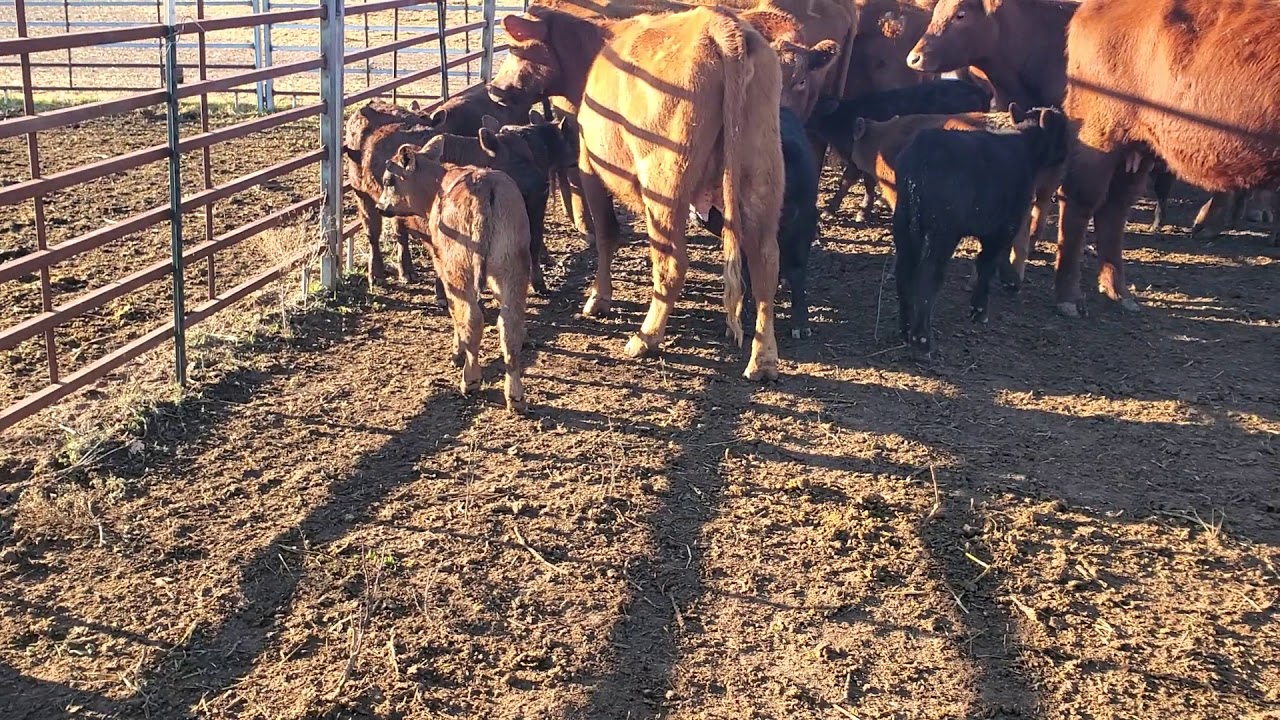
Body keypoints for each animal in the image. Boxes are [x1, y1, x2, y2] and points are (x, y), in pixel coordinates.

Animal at [375, 142, 532, 413]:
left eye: (389, 180)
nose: (380, 206)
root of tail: (484, 186)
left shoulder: (443, 264)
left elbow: (452, 308)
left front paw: (457, 352)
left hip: (460, 269)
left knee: (471, 318)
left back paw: (470, 379)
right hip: (513, 269)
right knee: (510, 326)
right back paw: (515, 396)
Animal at [489, 5, 789, 380]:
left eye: (515, 47)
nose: (494, 89)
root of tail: (718, 24)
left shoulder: (589, 165)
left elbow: (606, 234)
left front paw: (598, 298)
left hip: (663, 188)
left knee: (672, 263)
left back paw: (646, 338)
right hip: (761, 179)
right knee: (765, 262)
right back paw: (763, 360)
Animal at [806, 78, 992, 219]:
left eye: (812, 107)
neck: (845, 117)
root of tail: (979, 90)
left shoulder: (857, 161)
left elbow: (847, 182)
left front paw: (834, 209)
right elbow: (868, 184)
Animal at [893, 108, 1068, 358]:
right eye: (1062, 129)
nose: (1067, 152)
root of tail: (922, 151)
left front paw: (1009, 282)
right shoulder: (1006, 223)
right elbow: (988, 262)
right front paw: (980, 308)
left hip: (904, 223)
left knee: (904, 271)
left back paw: (906, 329)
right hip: (942, 232)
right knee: (929, 274)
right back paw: (923, 340)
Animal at [1054, 0, 1280, 317]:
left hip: (1137, 149)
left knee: (1113, 209)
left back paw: (1119, 293)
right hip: (1101, 135)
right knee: (1080, 203)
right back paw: (1069, 298)